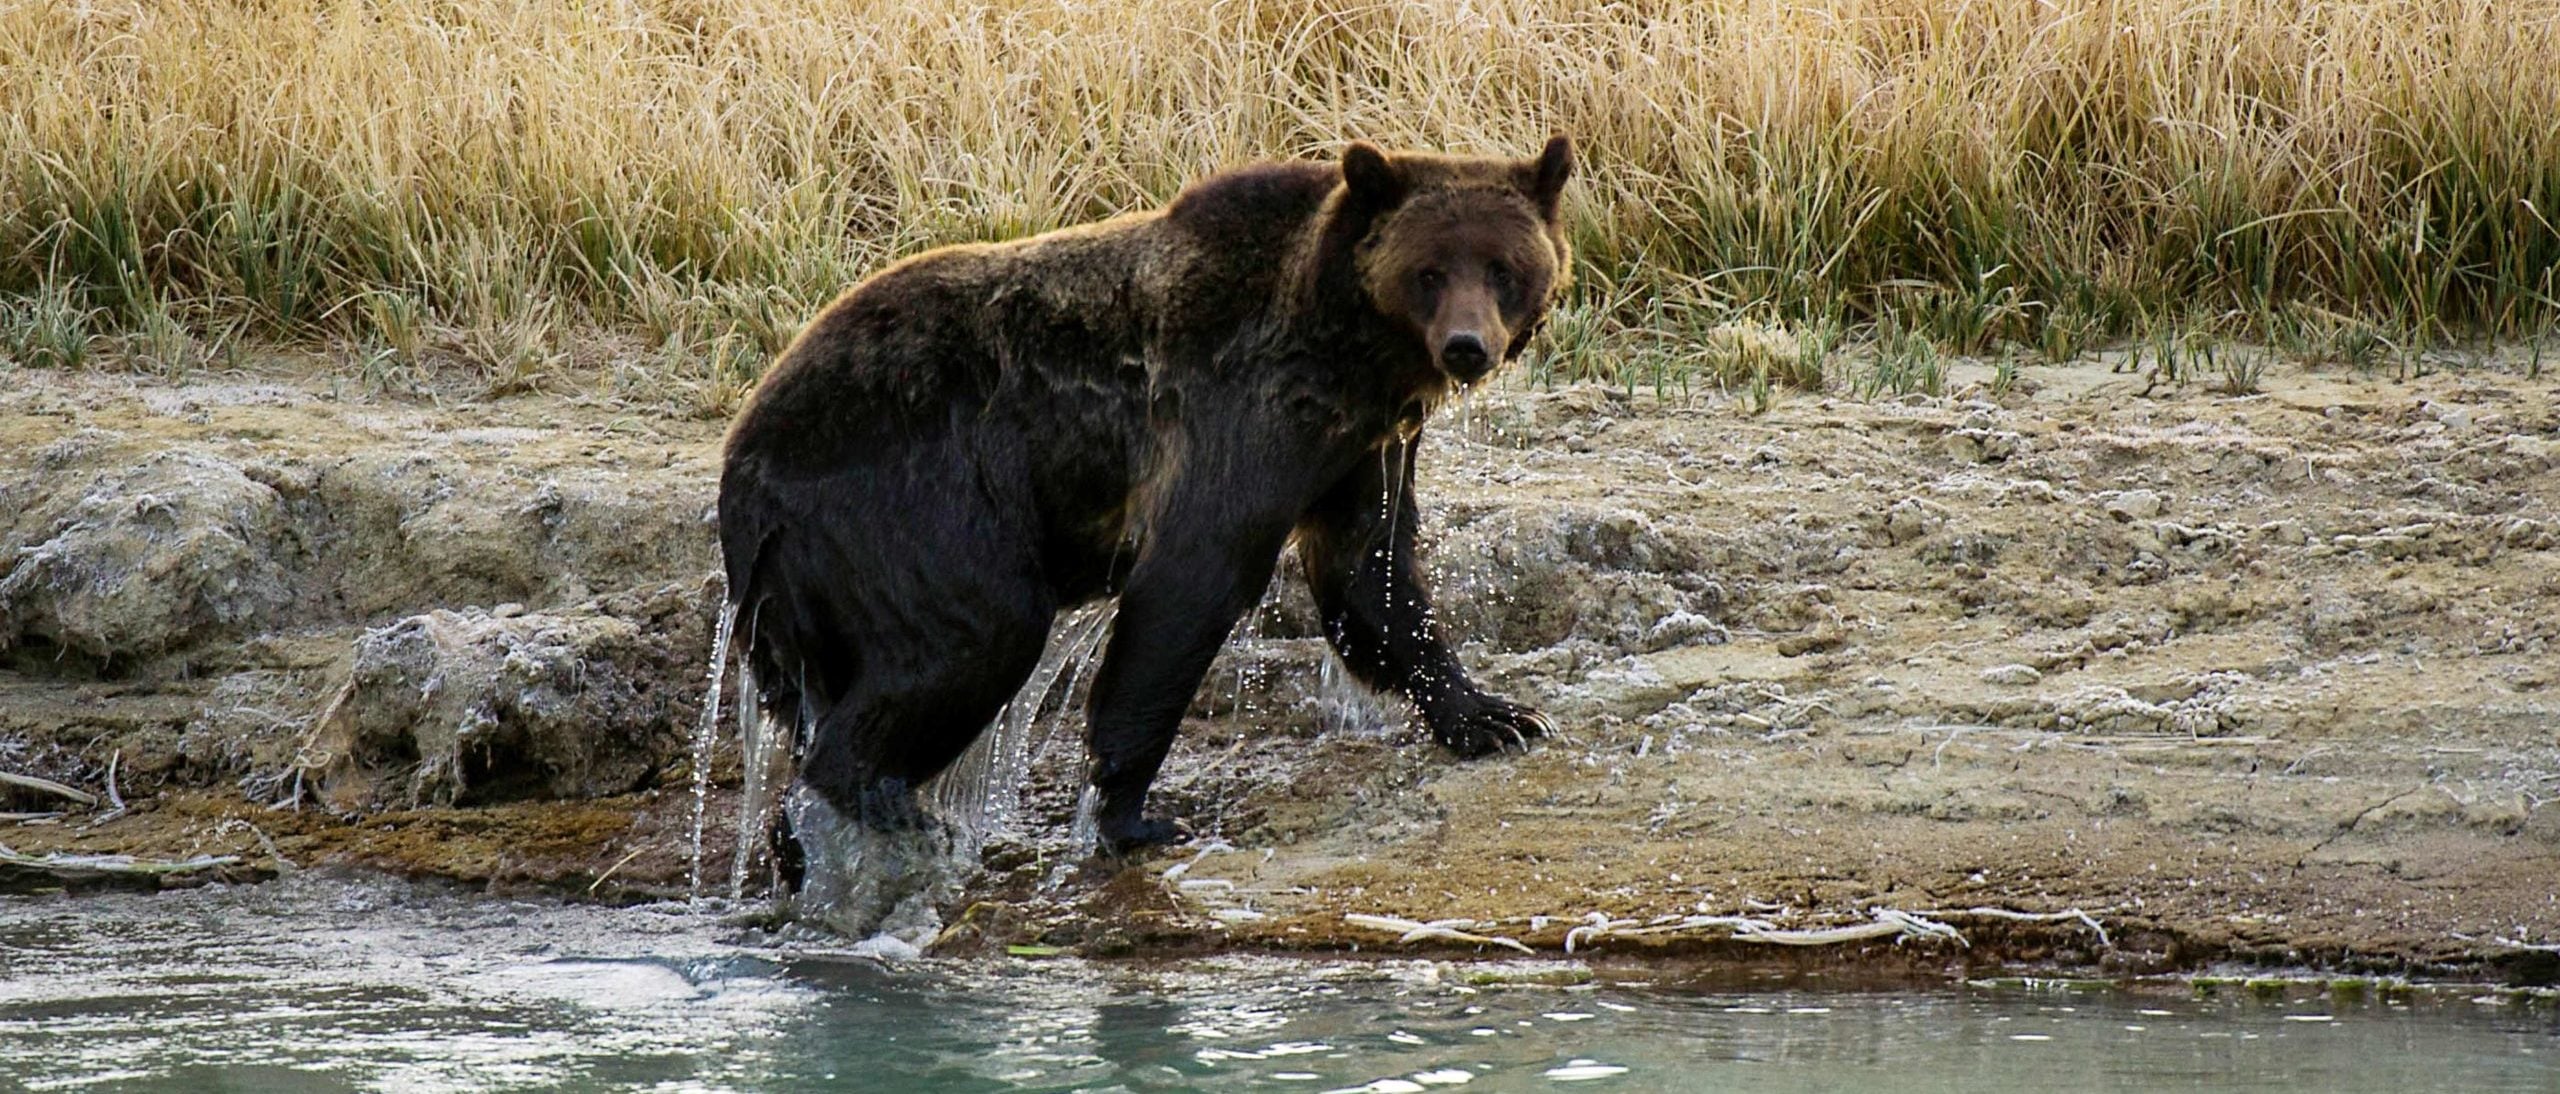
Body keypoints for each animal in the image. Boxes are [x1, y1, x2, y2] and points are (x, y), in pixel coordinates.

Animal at [717, 136, 1576, 857]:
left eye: (1501, 267)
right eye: (1429, 271)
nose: (1467, 347)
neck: (1348, 357)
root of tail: (741, 469)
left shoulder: (1360, 449)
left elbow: (1373, 577)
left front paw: (1496, 714)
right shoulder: (1235, 412)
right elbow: (1190, 582)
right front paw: (1134, 813)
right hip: (908, 499)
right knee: (975, 633)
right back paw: (885, 812)